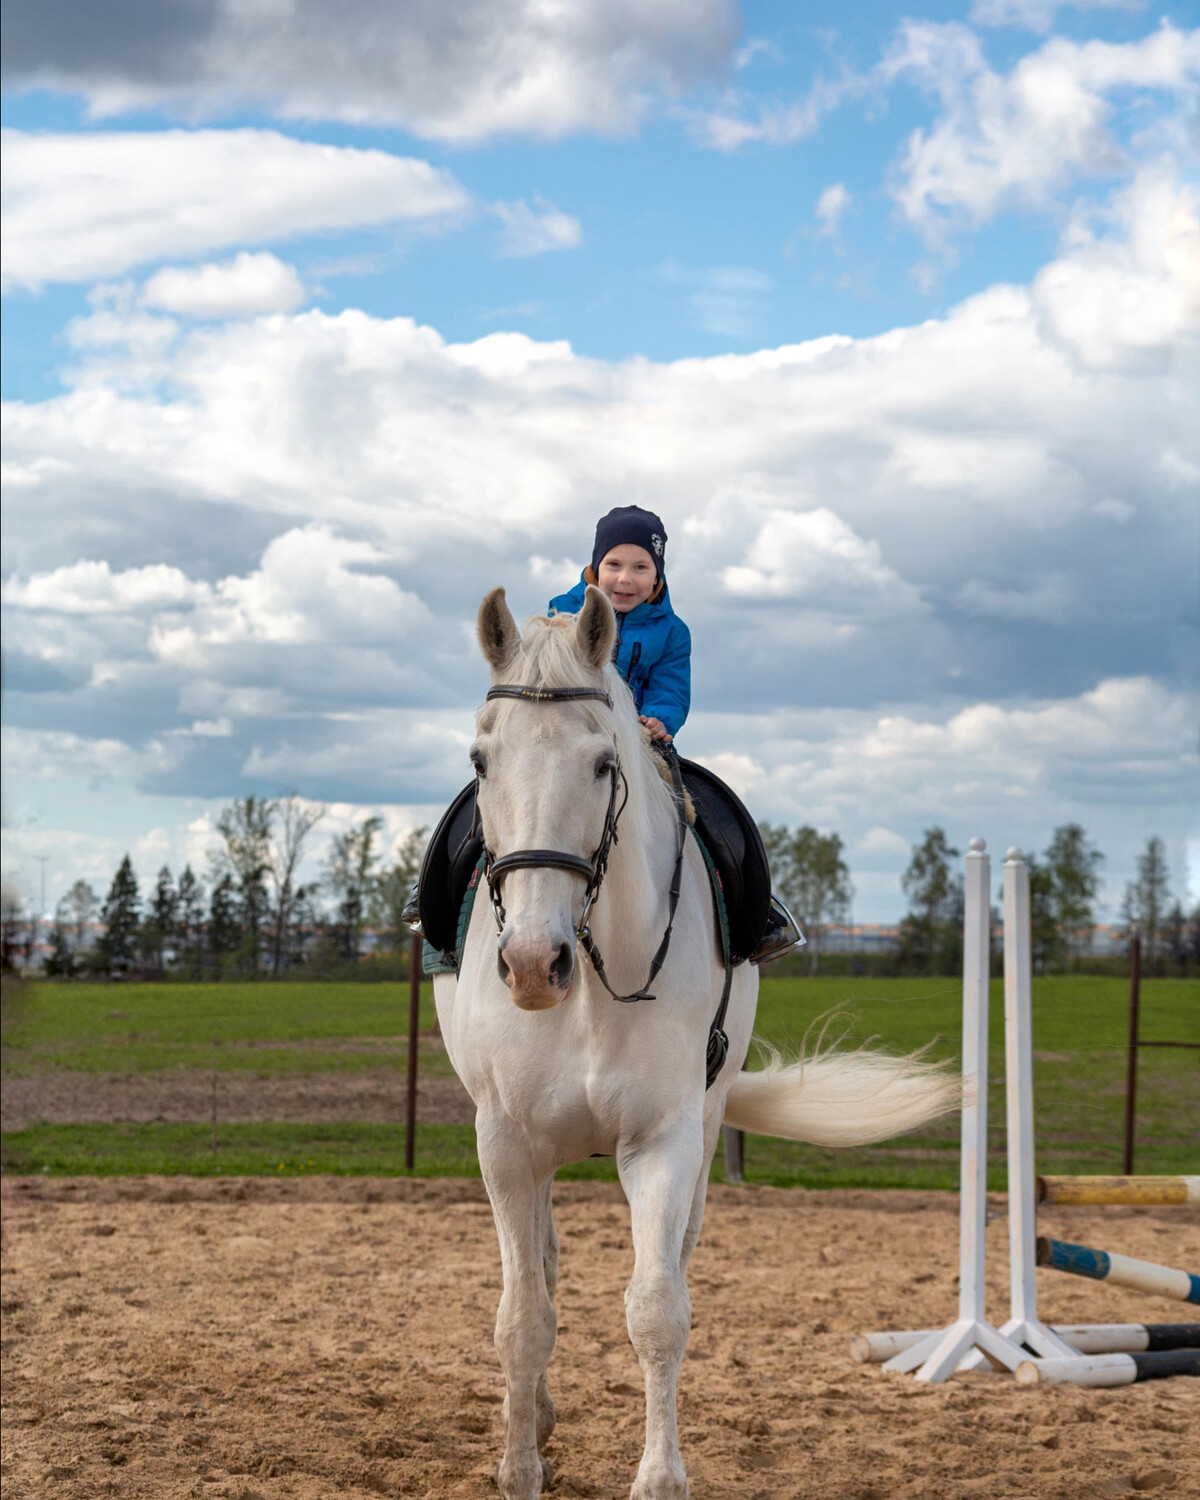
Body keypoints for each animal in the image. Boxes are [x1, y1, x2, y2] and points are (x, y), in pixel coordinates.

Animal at [432, 585, 954, 1500]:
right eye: (481, 761)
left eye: (604, 764)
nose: (532, 964)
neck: (591, 984)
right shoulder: (506, 1144)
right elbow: (523, 1315)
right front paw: (519, 1465)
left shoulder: (663, 1141)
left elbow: (657, 1308)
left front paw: (659, 1477)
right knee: (545, 1269)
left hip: (707, 1132)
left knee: (668, 1260)